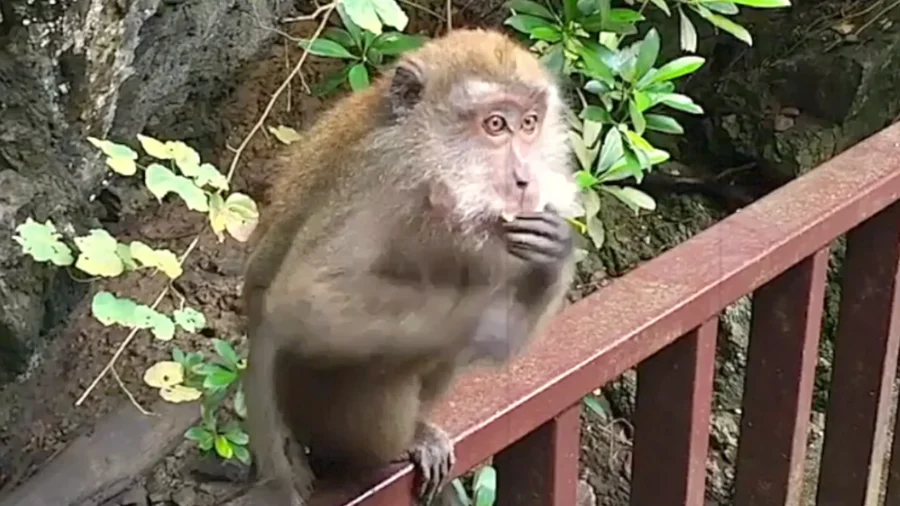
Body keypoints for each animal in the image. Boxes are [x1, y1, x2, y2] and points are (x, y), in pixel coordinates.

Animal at [240, 28, 580, 506]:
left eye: (530, 123)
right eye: (495, 125)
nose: (524, 181)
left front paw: (555, 251)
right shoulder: (382, 176)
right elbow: (308, 298)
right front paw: (495, 320)